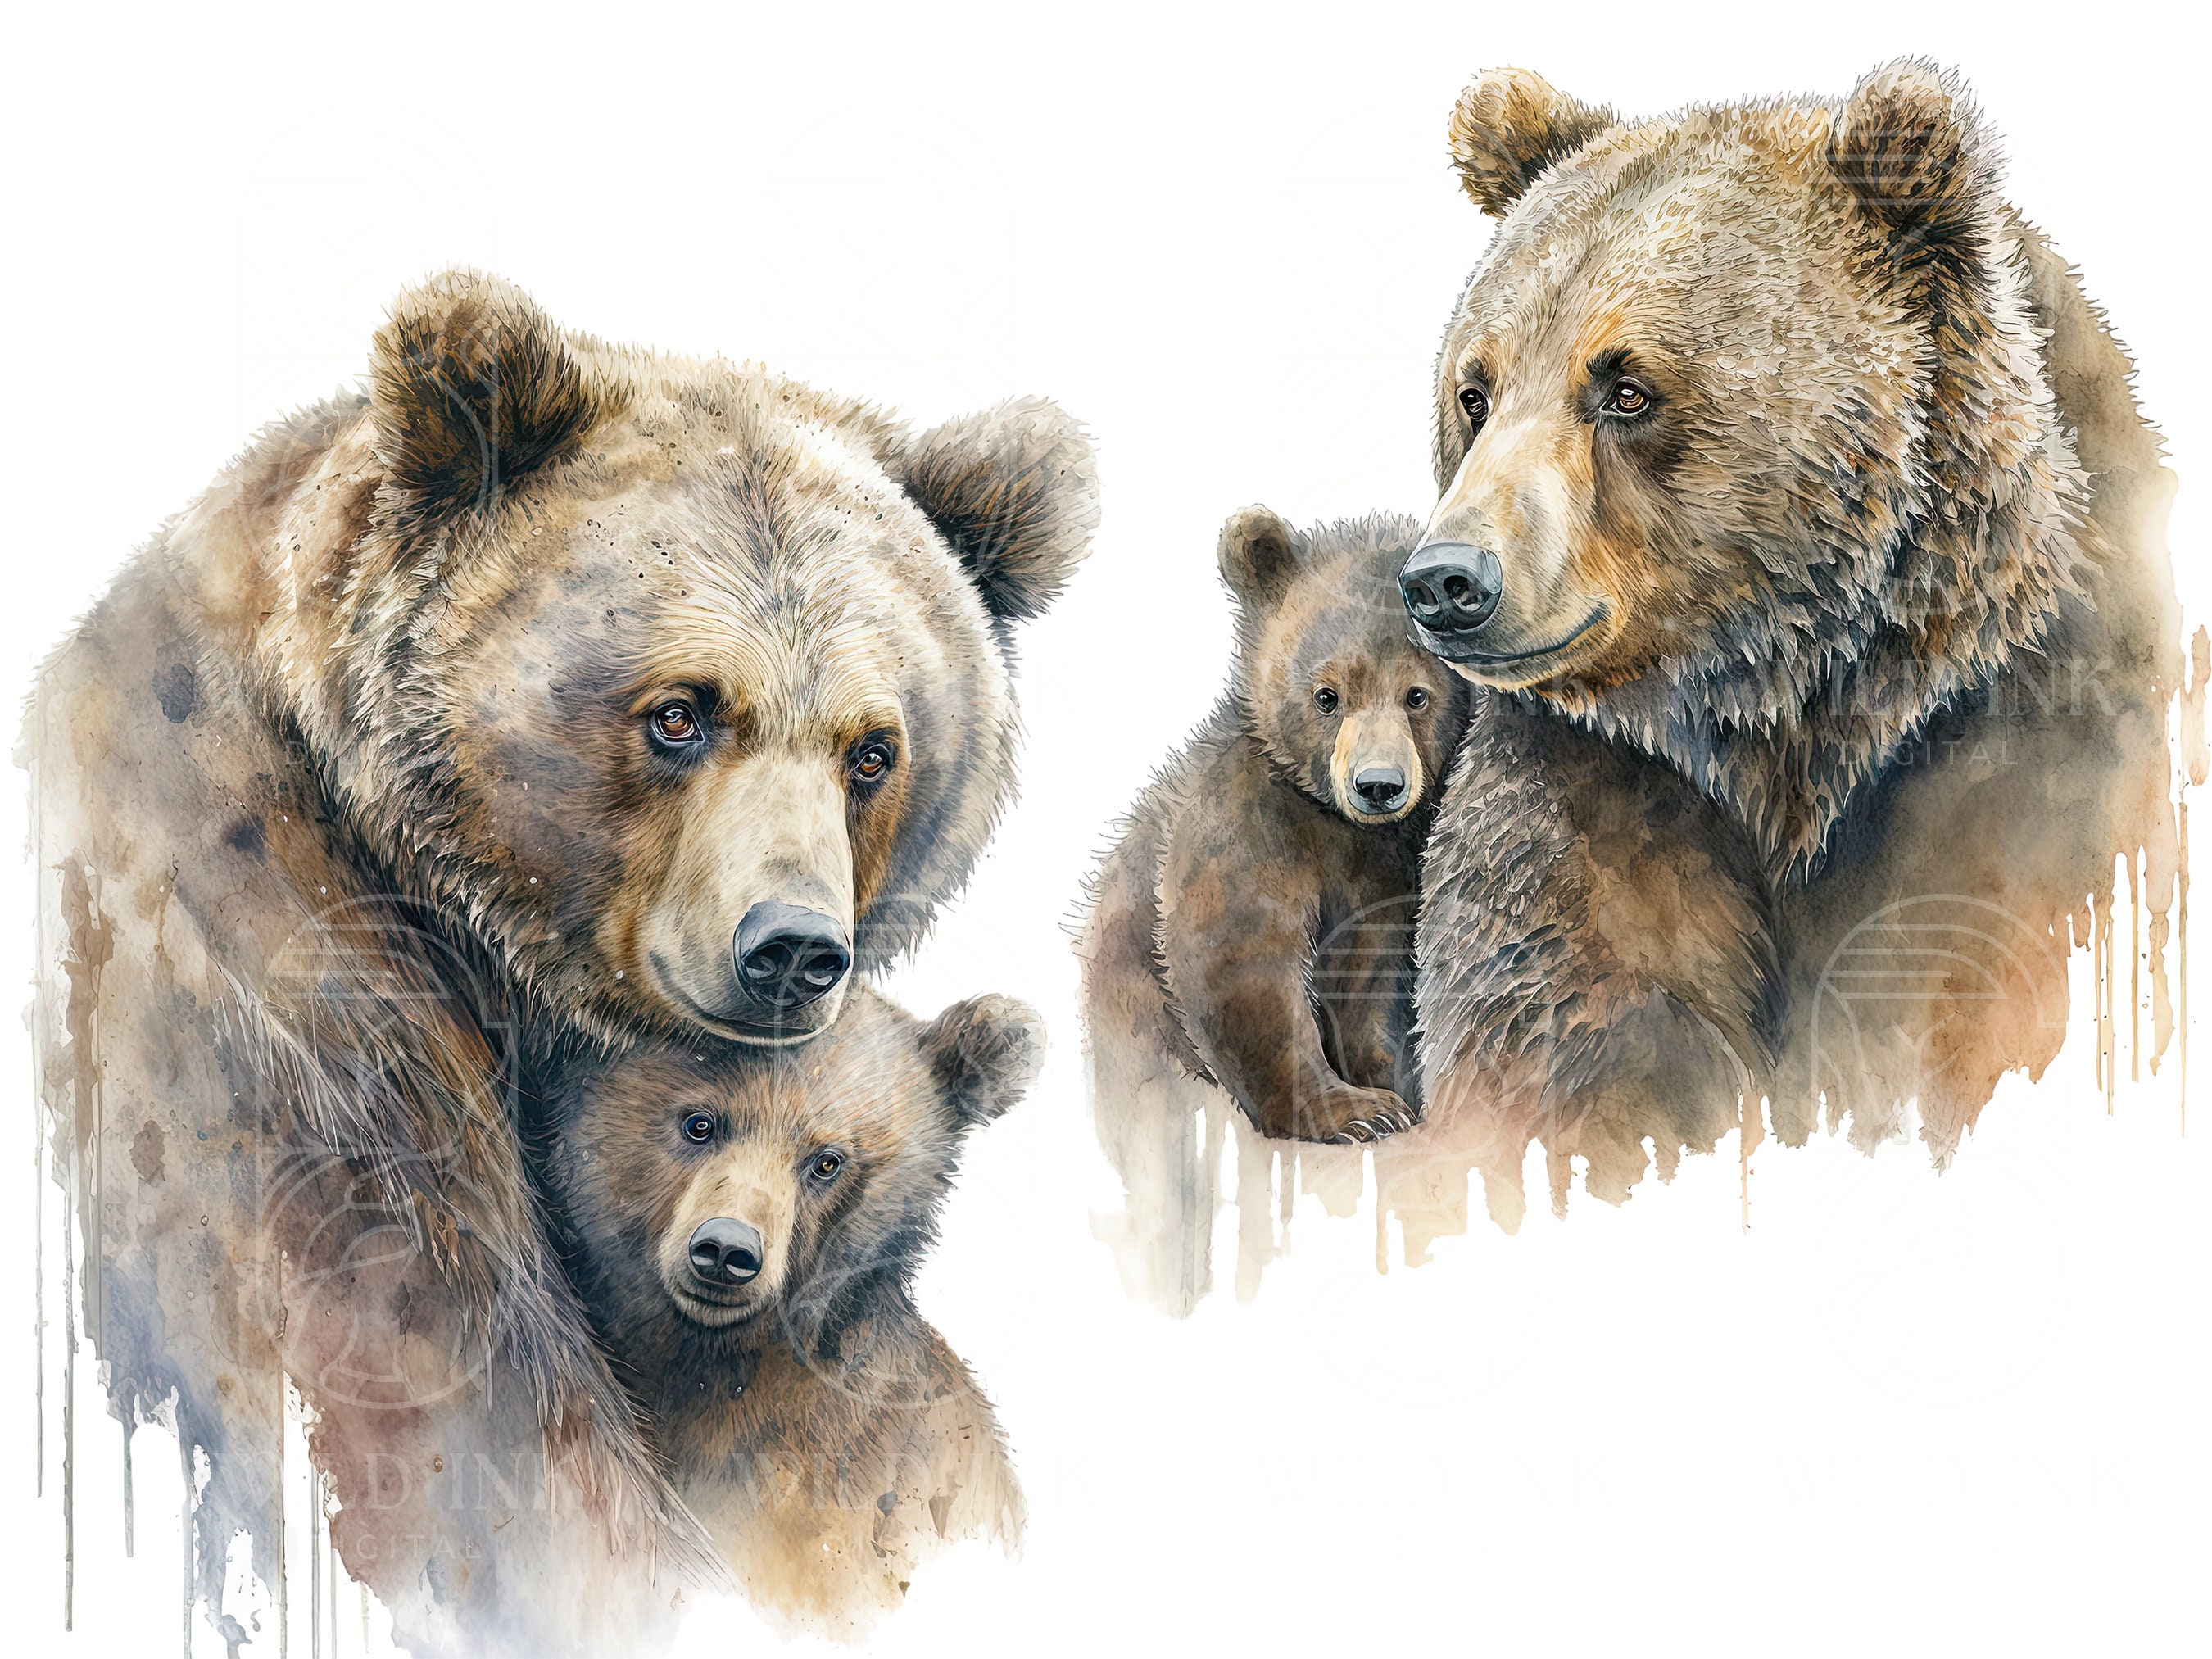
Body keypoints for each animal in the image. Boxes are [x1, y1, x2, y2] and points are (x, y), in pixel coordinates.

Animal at [1080, 508, 1470, 1153]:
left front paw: (1390, 1084)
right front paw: (1353, 1111)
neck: (1337, 825)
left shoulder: (1388, 864)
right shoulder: (1248, 822)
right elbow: (1244, 960)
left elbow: (1373, 970)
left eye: (1418, 694)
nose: (1378, 785)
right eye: (1326, 695)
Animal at [1395, 61, 2182, 1219]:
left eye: (1625, 388)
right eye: (1475, 392)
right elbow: (1561, 1018)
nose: (1447, 581)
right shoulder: (1597, 785)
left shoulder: (2023, 736)